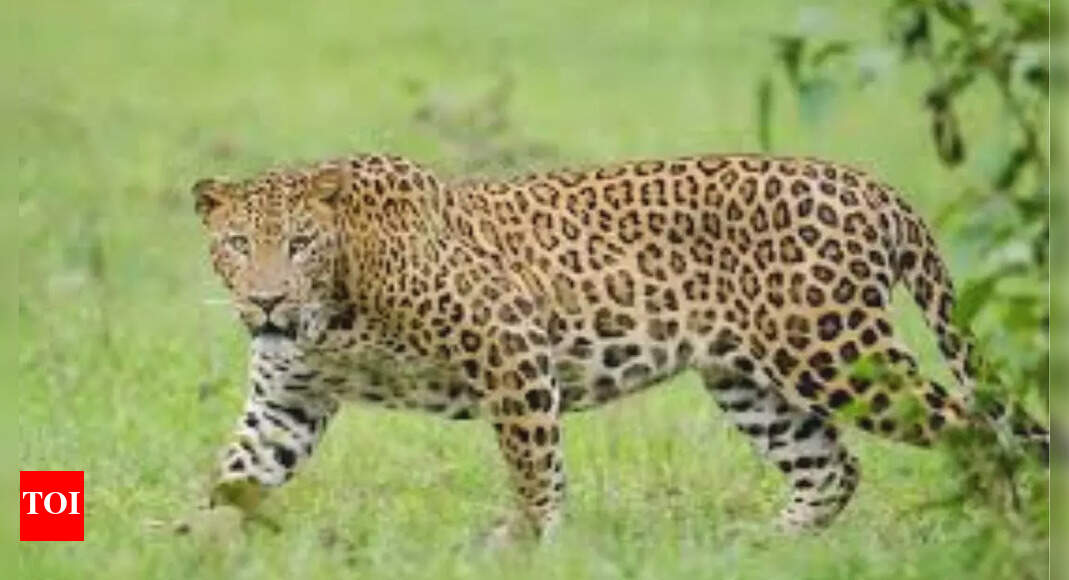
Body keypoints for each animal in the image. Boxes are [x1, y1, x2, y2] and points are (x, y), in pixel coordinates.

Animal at [191, 152, 1048, 539]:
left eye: (300, 244)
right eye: (236, 245)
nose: (266, 300)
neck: (332, 309)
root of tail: (873, 187)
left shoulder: (510, 344)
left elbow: (533, 467)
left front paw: (525, 544)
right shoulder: (287, 402)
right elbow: (232, 478)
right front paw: (188, 547)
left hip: (833, 352)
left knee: (976, 430)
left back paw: (1001, 532)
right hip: (749, 380)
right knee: (831, 466)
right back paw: (769, 549)